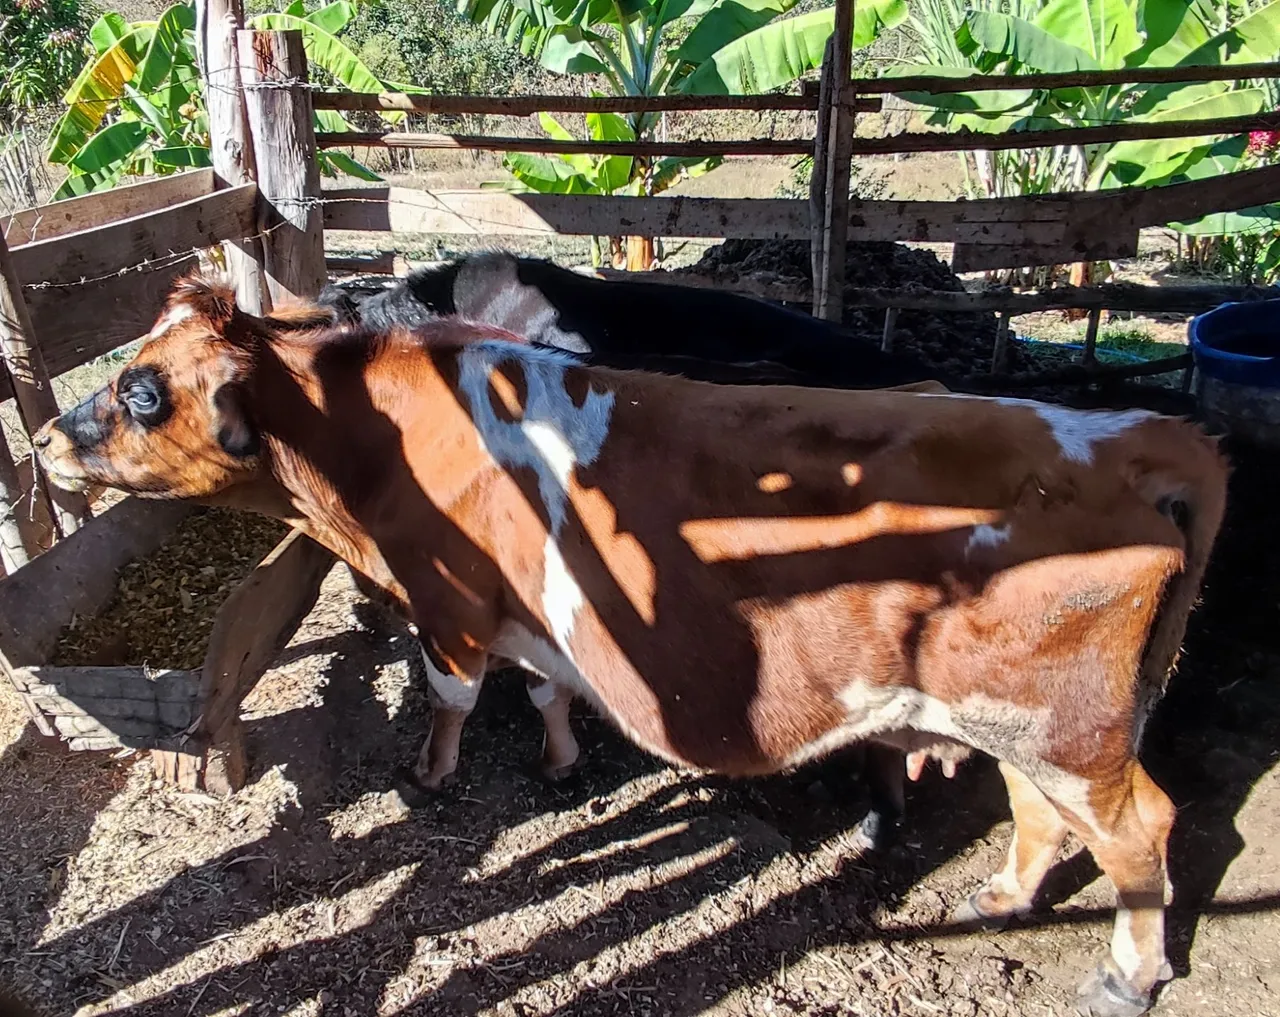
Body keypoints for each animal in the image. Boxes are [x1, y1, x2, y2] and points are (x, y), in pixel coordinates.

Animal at [35, 274, 1227, 1017]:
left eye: (142, 389)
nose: (43, 436)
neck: (375, 443)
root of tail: (1131, 431)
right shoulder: (528, 616)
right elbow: (546, 692)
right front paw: (561, 762)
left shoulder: (446, 601)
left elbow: (452, 698)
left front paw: (430, 777)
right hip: (1021, 725)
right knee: (1043, 813)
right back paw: (1001, 897)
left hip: (1065, 727)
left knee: (1143, 830)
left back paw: (1127, 974)